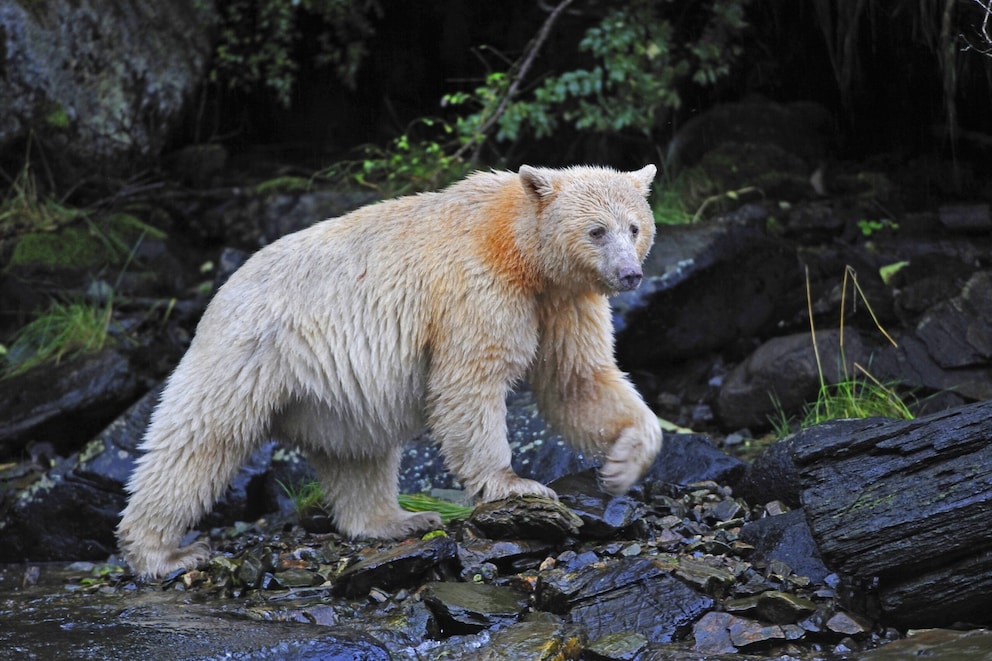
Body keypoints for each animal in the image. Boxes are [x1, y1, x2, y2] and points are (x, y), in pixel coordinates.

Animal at [117, 164, 663, 578]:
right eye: (596, 230)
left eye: (634, 227)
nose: (629, 274)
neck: (517, 244)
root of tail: (222, 290)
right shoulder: (477, 289)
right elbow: (470, 382)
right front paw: (516, 485)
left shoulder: (565, 300)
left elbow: (577, 379)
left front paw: (622, 464)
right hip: (249, 351)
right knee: (199, 440)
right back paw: (162, 553)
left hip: (335, 393)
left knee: (358, 451)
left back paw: (396, 520)